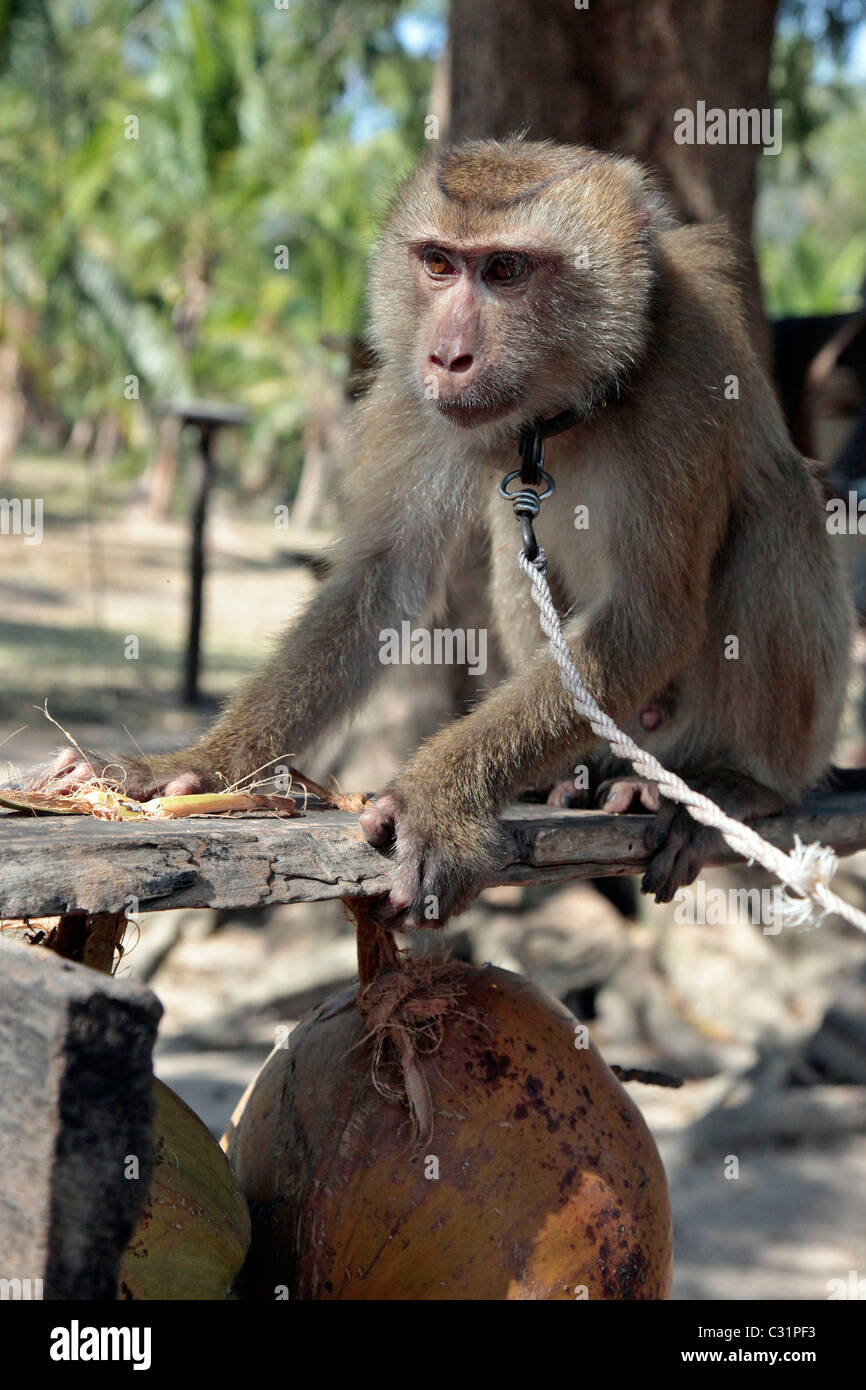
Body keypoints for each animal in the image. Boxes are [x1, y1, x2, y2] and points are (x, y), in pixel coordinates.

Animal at [28, 137, 852, 924]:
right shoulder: (406, 376)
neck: (566, 407)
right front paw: (198, 764)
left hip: (736, 731)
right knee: (513, 540)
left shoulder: (689, 366)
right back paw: (579, 776)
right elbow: (380, 578)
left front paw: (438, 798)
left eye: (506, 269)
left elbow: (652, 618)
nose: (448, 356)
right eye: (437, 264)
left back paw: (739, 782)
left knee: (779, 511)